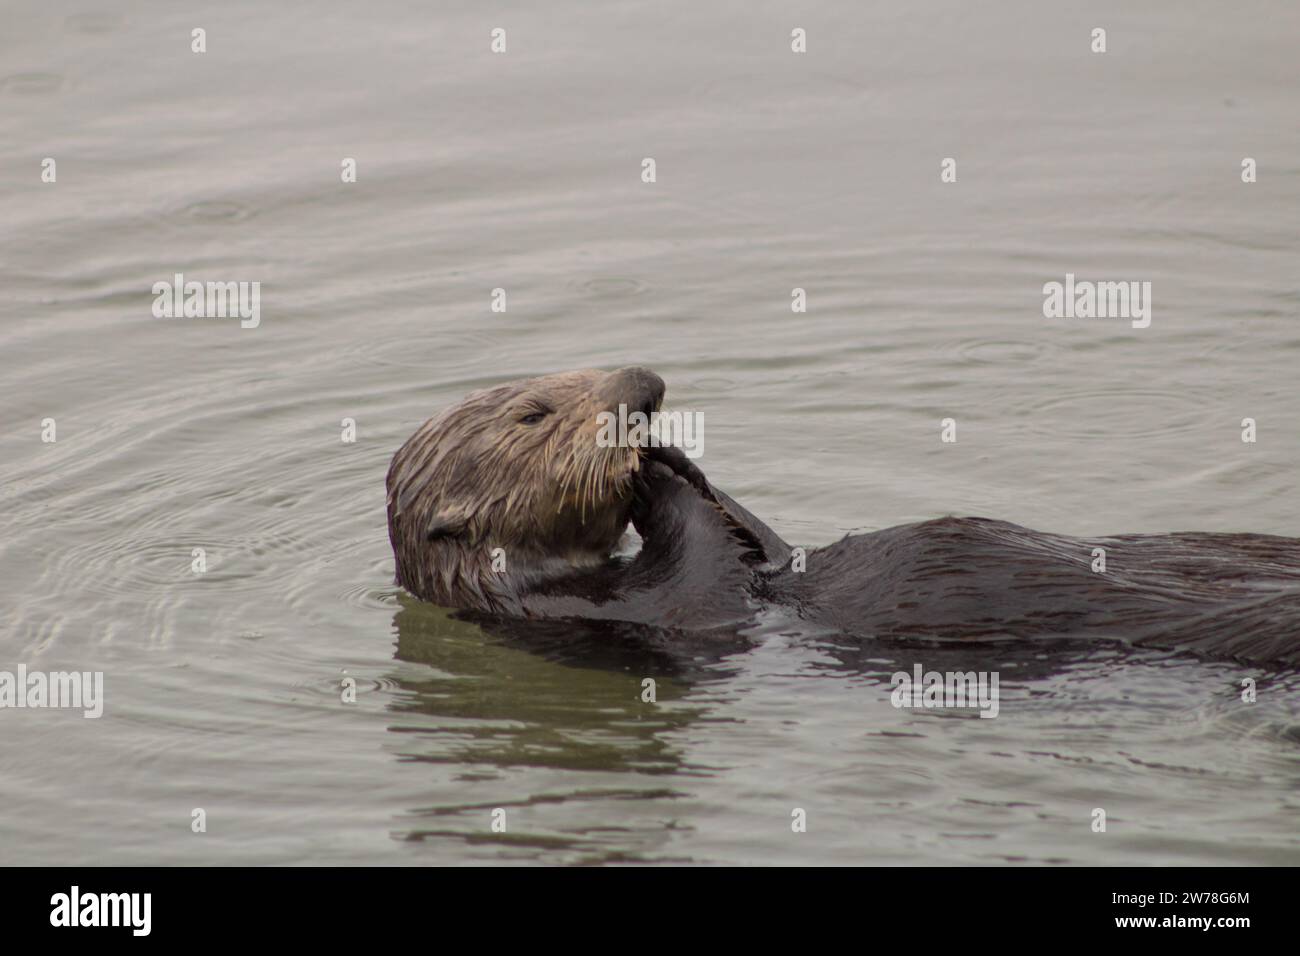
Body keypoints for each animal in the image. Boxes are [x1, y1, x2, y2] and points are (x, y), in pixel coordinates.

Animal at [387, 367, 1300, 668]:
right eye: (534, 413)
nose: (645, 385)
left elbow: (766, 543)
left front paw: (678, 459)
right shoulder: (616, 614)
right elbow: (705, 582)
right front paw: (650, 473)